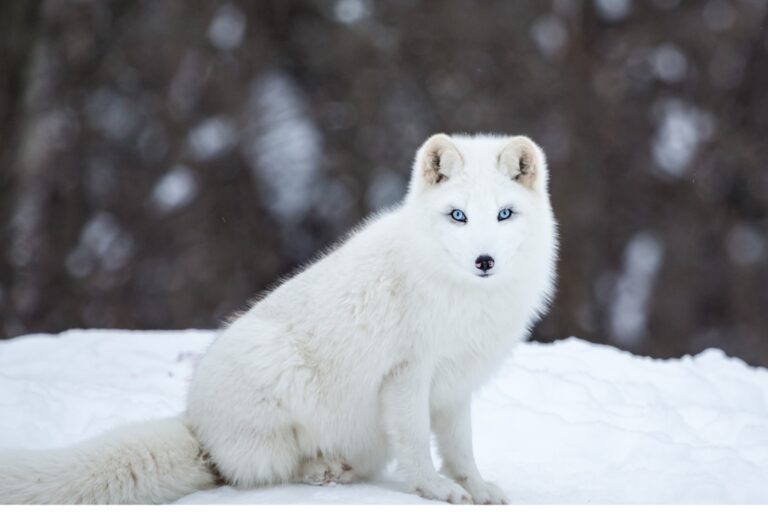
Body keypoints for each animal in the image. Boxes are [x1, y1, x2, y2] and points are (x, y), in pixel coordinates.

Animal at [0, 133, 558, 505]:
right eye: (458, 215)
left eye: (505, 214)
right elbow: (419, 444)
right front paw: (435, 490)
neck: (464, 297)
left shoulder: (456, 384)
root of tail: (197, 427)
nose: (484, 261)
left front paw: (477, 488)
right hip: (278, 371)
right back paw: (321, 469)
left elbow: (462, 448)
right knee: (262, 471)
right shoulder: (407, 375)